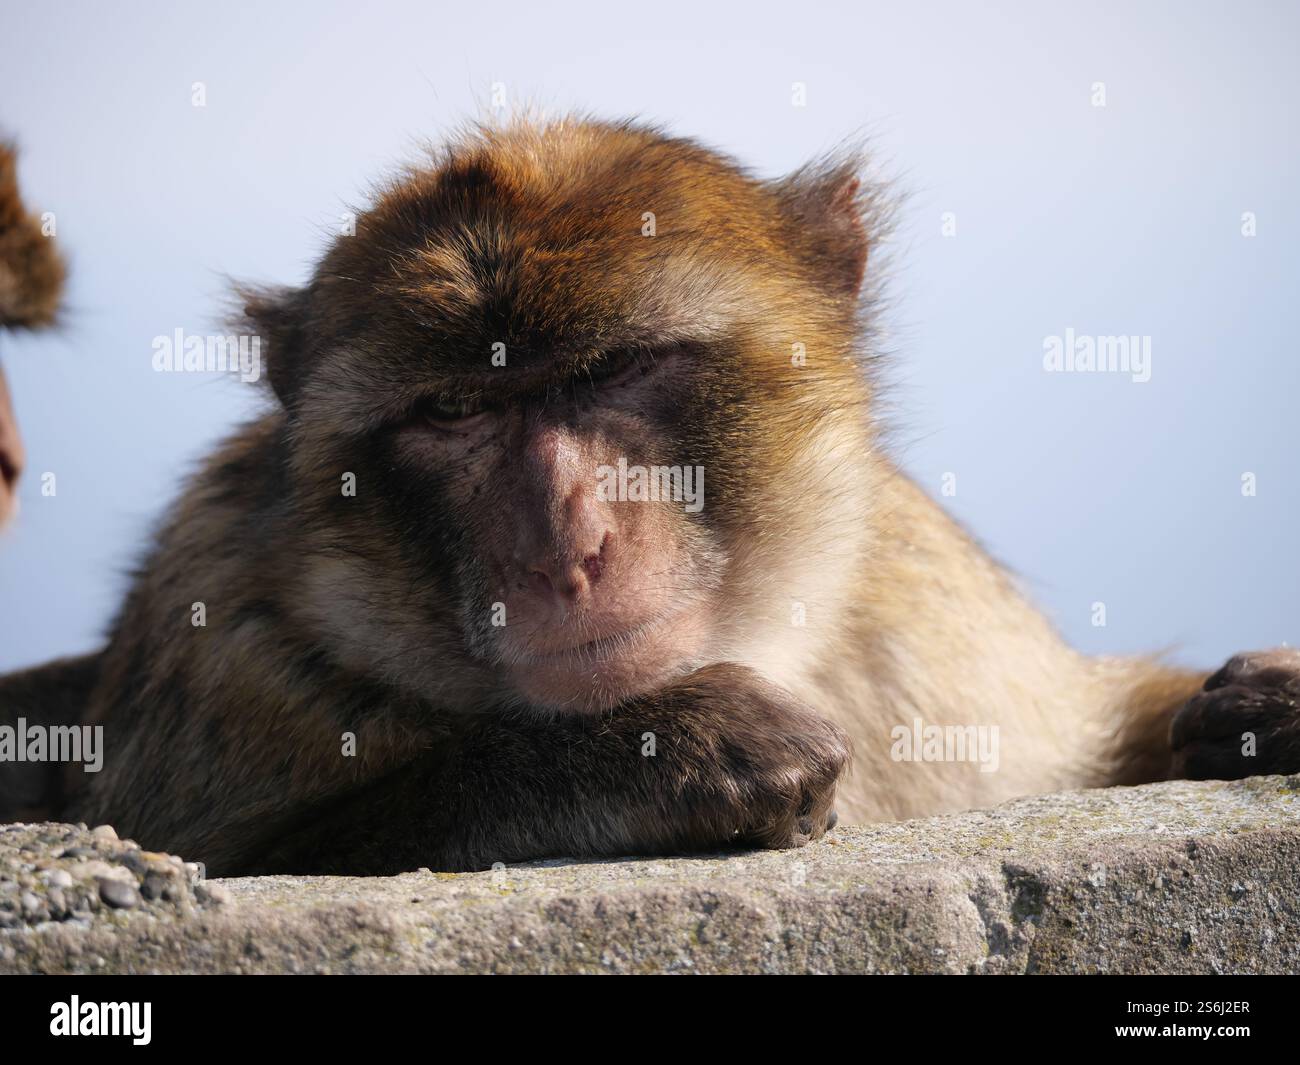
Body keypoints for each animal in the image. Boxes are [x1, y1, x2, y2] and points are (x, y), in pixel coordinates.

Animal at [1, 117, 1297, 876]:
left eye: (616, 369)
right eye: (452, 413)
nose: (560, 546)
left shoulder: (930, 624)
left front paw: (1263, 705)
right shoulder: (223, 634)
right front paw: (664, 749)